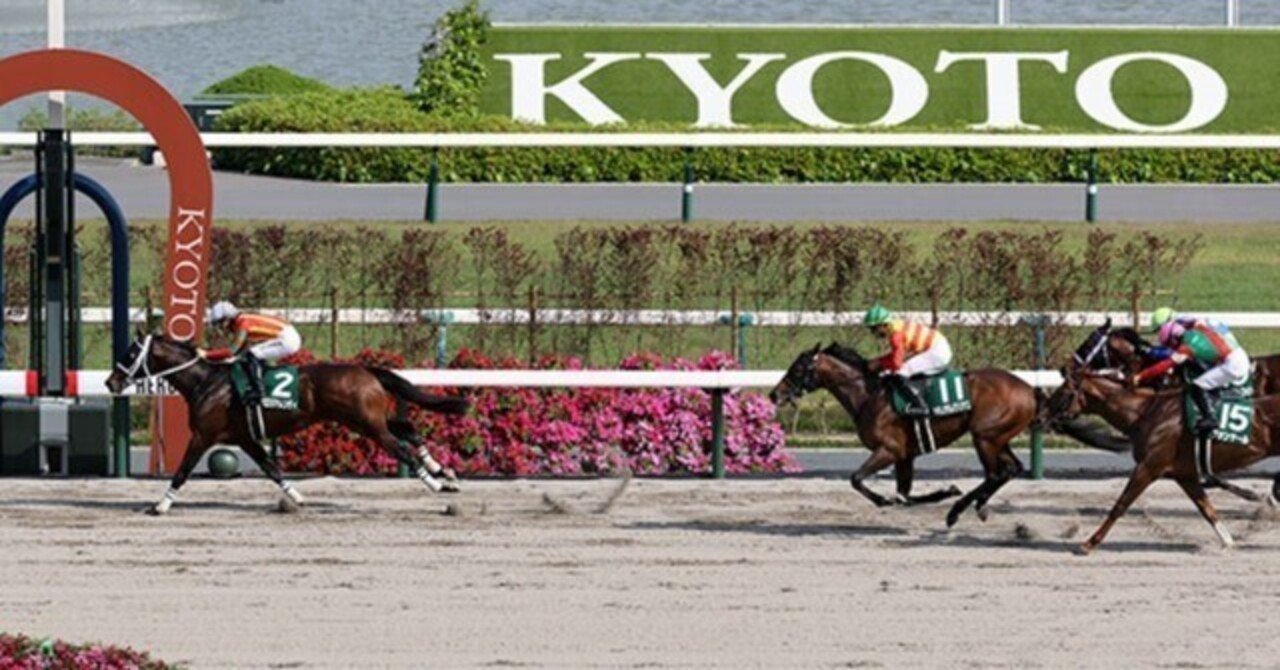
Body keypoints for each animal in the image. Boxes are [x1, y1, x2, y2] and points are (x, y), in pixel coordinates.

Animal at [105, 333, 469, 515]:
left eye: (129, 353)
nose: (110, 382)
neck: (205, 382)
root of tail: (367, 369)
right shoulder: (244, 438)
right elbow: (271, 468)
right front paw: (297, 497)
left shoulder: (203, 435)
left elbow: (182, 471)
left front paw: (160, 505)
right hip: (372, 418)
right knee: (410, 431)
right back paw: (444, 473)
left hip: (368, 425)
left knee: (402, 448)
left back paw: (435, 483)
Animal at [769, 343, 1036, 527]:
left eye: (798, 368)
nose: (774, 394)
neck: (869, 396)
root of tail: (1029, 389)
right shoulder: (905, 456)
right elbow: (903, 495)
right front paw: (945, 491)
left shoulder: (889, 450)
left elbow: (857, 479)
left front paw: (883, 500)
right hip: (997, 437)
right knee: (1011, 469)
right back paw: (978, 505)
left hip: (984, 437)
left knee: (994, 474)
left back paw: (956, 512)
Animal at [1044, 338, 1280, 554]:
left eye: (1062, 392)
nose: (1043, 415)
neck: (1145, 411)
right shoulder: (1184, 474)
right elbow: (1206, 508)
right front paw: (1229, 542)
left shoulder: (1148, 467)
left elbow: (1121, 504)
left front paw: (1089, 543)